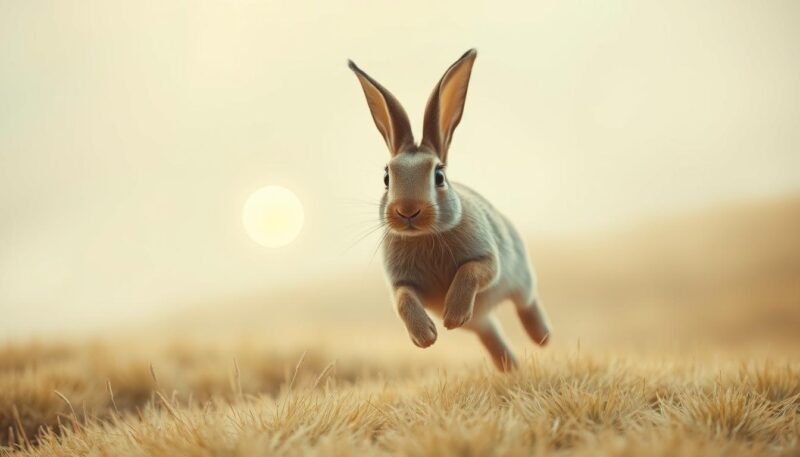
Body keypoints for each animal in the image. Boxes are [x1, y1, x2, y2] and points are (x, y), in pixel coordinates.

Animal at [348, 49, 551, 371]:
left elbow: (470, 271)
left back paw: (542, 338)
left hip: (521, 277)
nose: (407, 211)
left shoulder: (487, 259)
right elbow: (403, 300)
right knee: (491, 334)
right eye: (386, 178)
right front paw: (426, 337)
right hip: (483, 322)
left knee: (527, 303)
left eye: (439, 176)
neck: (425, 236)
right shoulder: (401, 283)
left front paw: (452, 318)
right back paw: (511, 368)